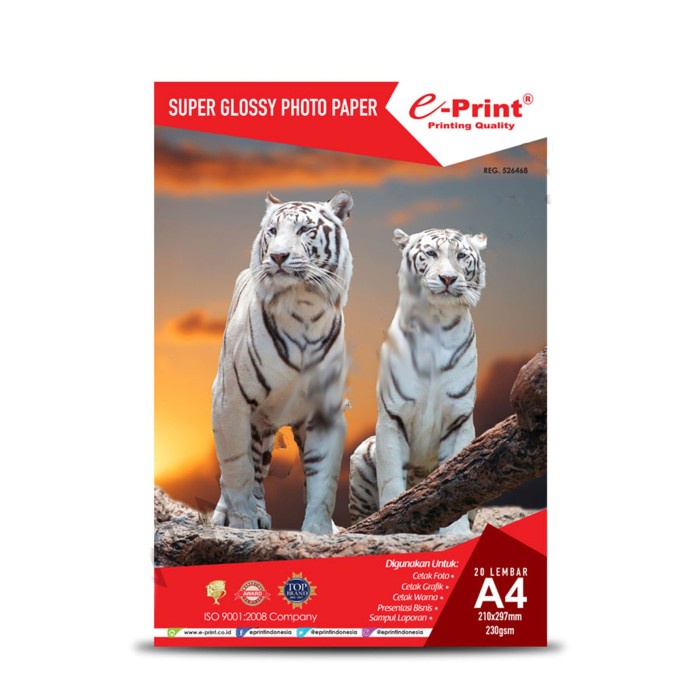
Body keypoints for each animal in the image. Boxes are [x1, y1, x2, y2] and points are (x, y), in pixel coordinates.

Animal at [211, 190, 353, 534]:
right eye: (272, 231)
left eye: (305, 230)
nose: (277, 256)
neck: (303, 306)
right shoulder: (229, 401)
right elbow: (237, 471)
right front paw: (242, 524)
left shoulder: (326, 410)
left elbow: (323, 478)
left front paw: (319, 531)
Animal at [349, 226, 487, 535]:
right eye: (431, 253)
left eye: (461, 256)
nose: (448, 278)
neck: (436, 322)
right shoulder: (392, 417)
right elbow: (391, 480)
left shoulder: (459, 420)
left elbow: (457, 478)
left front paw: (455, 532)